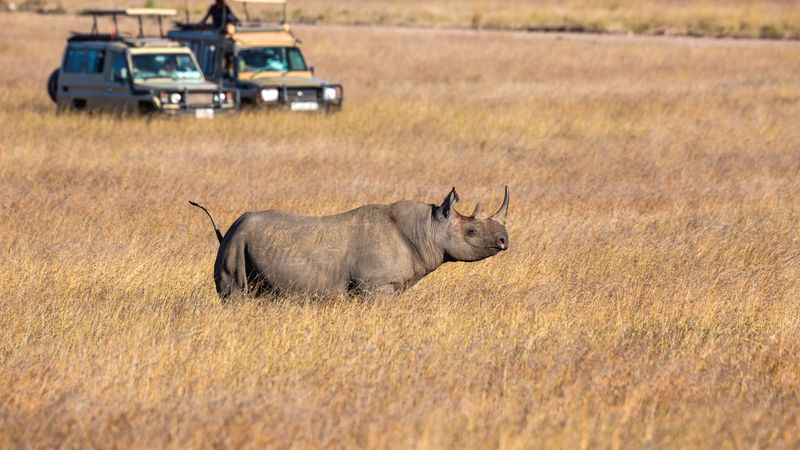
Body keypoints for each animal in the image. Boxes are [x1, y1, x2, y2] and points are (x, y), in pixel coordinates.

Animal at [190, 187, 509, 298]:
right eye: (471, 231)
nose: (504, 240)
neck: (428, 228)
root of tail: (228, 231)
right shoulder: (375, 287)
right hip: (235, 245)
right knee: (236, 296)